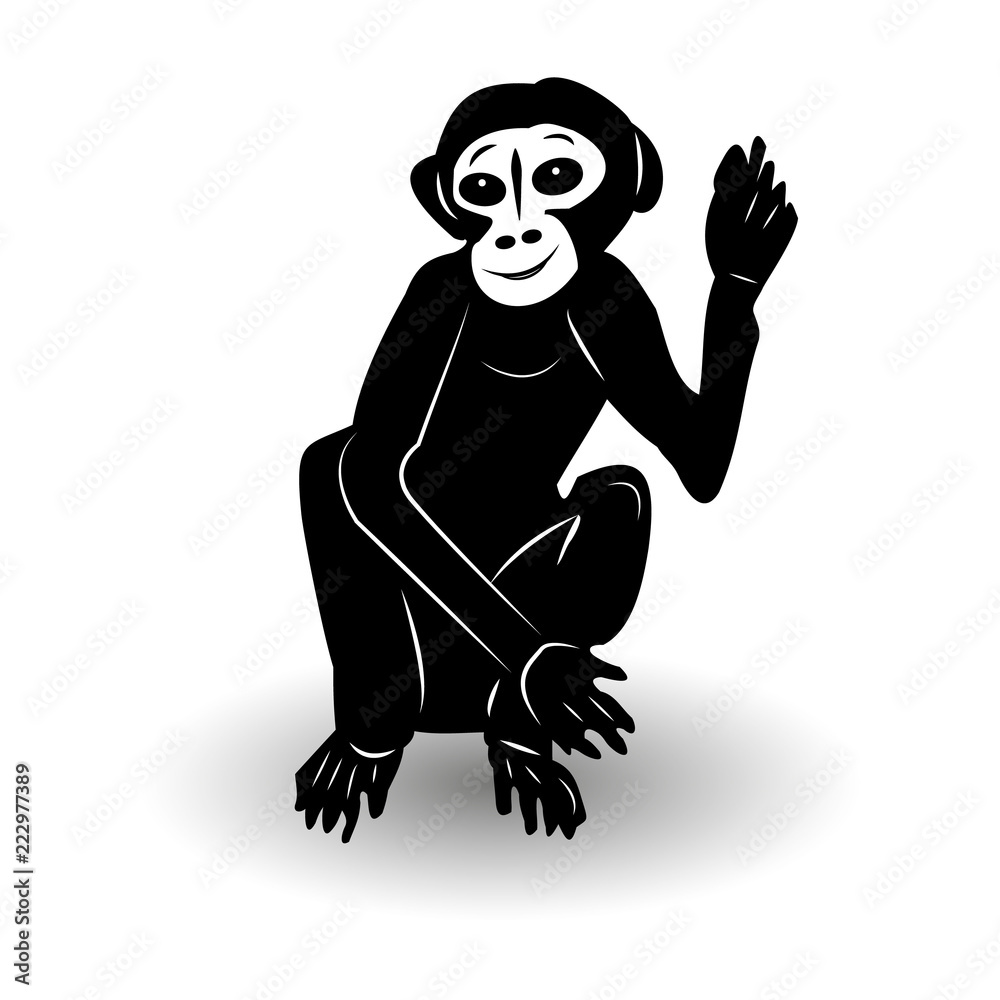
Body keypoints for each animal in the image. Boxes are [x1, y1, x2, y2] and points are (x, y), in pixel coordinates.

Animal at [293, 77, 797, 842]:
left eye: (556, 176)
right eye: (482, 187)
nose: (515, 233)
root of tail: (448, 720)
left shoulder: (614, 296)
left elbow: (695, 460)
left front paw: (740, 253)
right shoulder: (432, 286)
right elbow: (373, 466)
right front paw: (549, 671)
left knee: (620, 493)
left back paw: (518, 738)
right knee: (329, 461)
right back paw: (370, 740)